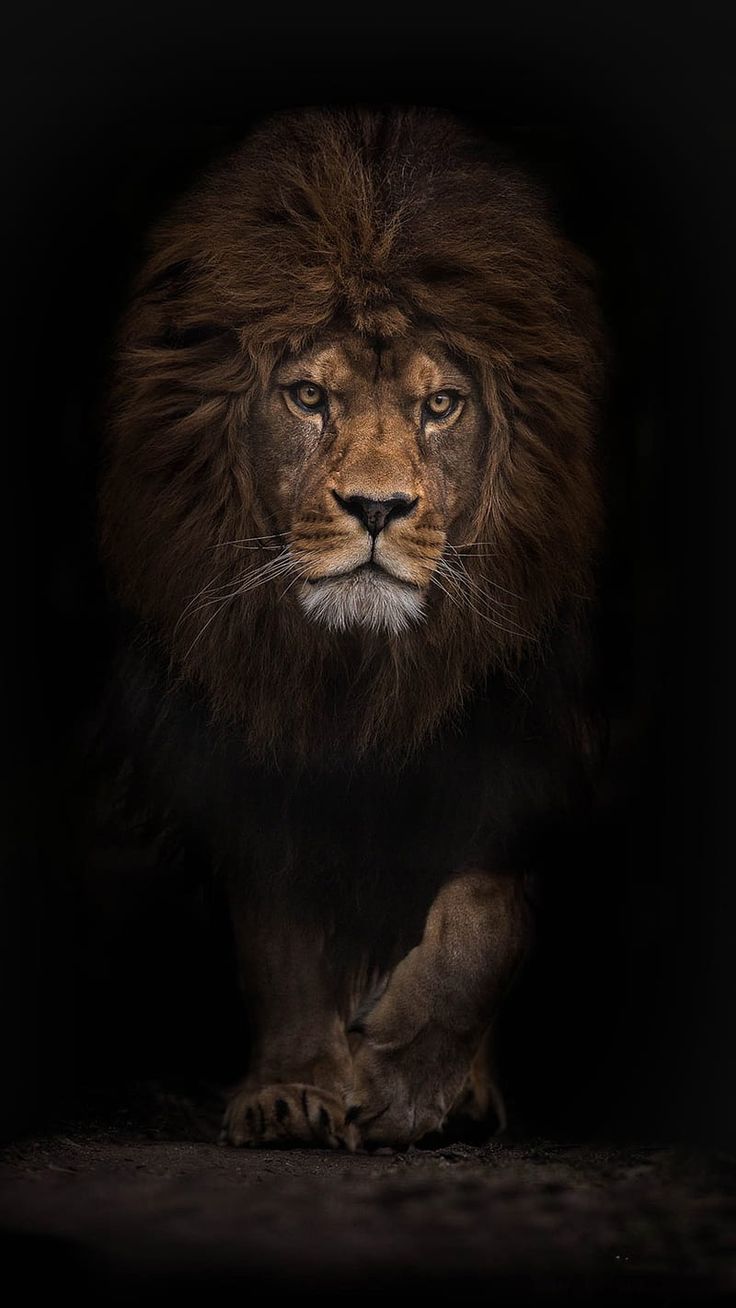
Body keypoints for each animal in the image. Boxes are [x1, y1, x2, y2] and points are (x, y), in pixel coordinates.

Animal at [98, 107, 604, 1149]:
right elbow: (280, 935)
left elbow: (486, 913)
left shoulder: (528, 736)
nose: (376, 507)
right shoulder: (249, 745)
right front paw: (296, 1089)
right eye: (308, 396)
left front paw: (409, 1081)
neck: (357, 674)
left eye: (441, 404)